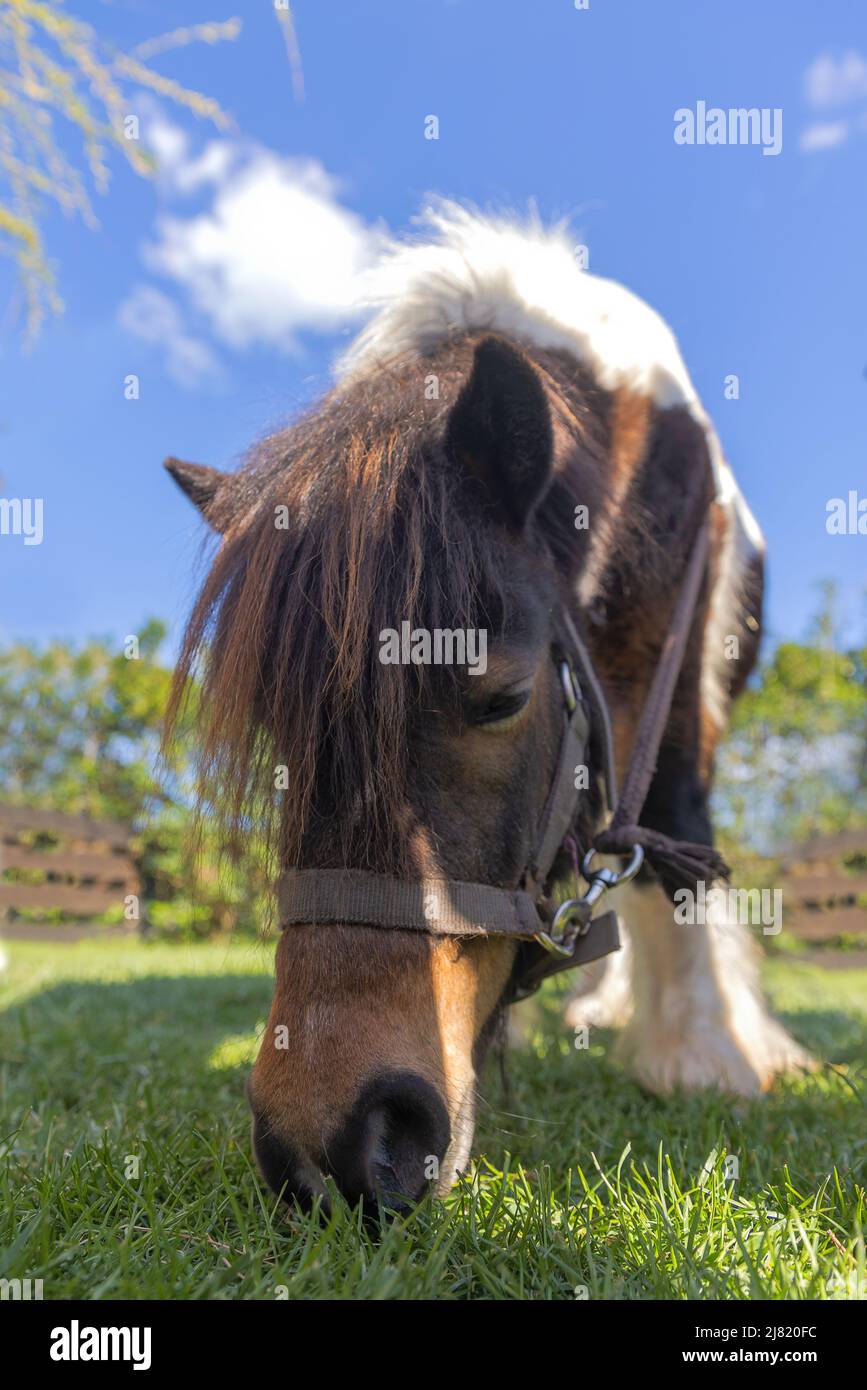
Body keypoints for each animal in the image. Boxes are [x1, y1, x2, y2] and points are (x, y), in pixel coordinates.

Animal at [165, 203, 810, 1213]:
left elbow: (671, 830)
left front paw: (704, 1057)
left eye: (503, 697)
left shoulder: (676, 647)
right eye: (274, 732)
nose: (330, 1149)